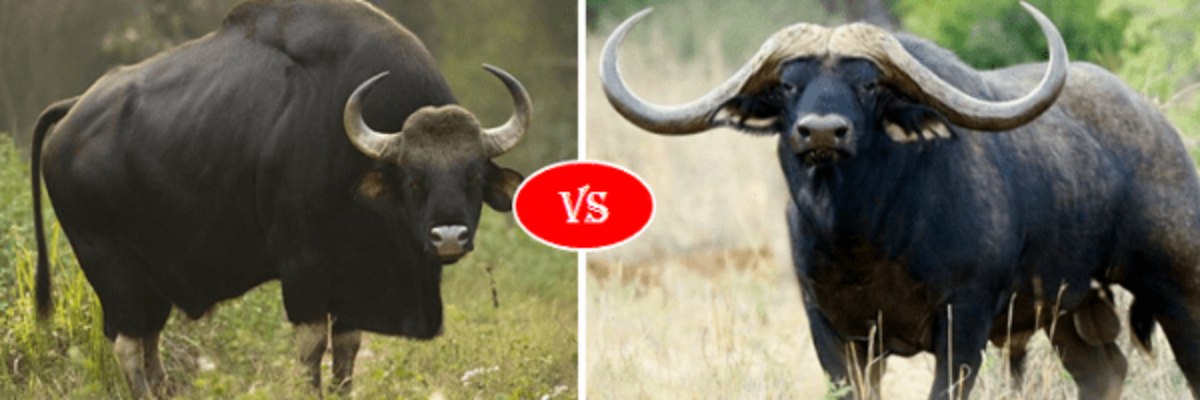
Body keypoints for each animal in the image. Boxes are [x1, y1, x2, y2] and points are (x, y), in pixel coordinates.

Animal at [29, 0, 532, 397]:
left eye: (473, 176)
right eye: (413, 179)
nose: (448, 237)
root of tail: (73, 109)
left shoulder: (354, 283)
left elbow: (346, 357)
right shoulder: (302, 270)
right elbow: (311, 354)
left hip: (151, 280)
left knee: (150, 347)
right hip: (111, 269)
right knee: (130, 347)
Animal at [600, 2, 1200, 399]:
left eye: (868, 85)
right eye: (790, 85)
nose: (822, 132)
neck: (865, 237)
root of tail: (1161, 129)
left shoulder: (963, 323)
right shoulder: (836, 334)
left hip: (1176, 287)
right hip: (1069, 309)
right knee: (1104, 369)